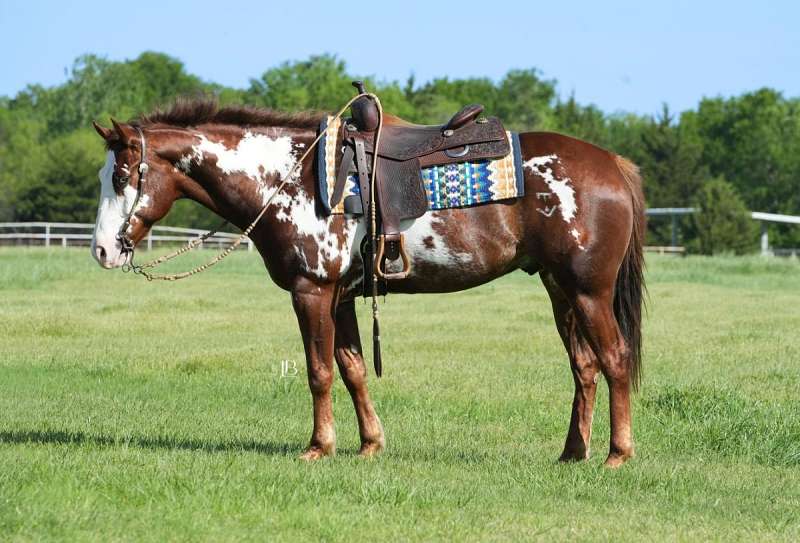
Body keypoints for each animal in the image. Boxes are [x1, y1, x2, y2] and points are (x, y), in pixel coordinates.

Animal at [90, 98, 645, 467]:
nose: (102, 250)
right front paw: (369, 444)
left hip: (588, 291)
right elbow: (353, 368)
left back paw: (617, 454)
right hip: (559, 289)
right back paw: (572, 453)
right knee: (584, 366)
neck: (289, 178)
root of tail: (612, 164)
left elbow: (319, 371)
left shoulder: (311, 291)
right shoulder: (341, 297)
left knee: (615, 360)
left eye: (119, 176)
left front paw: (319, 447)